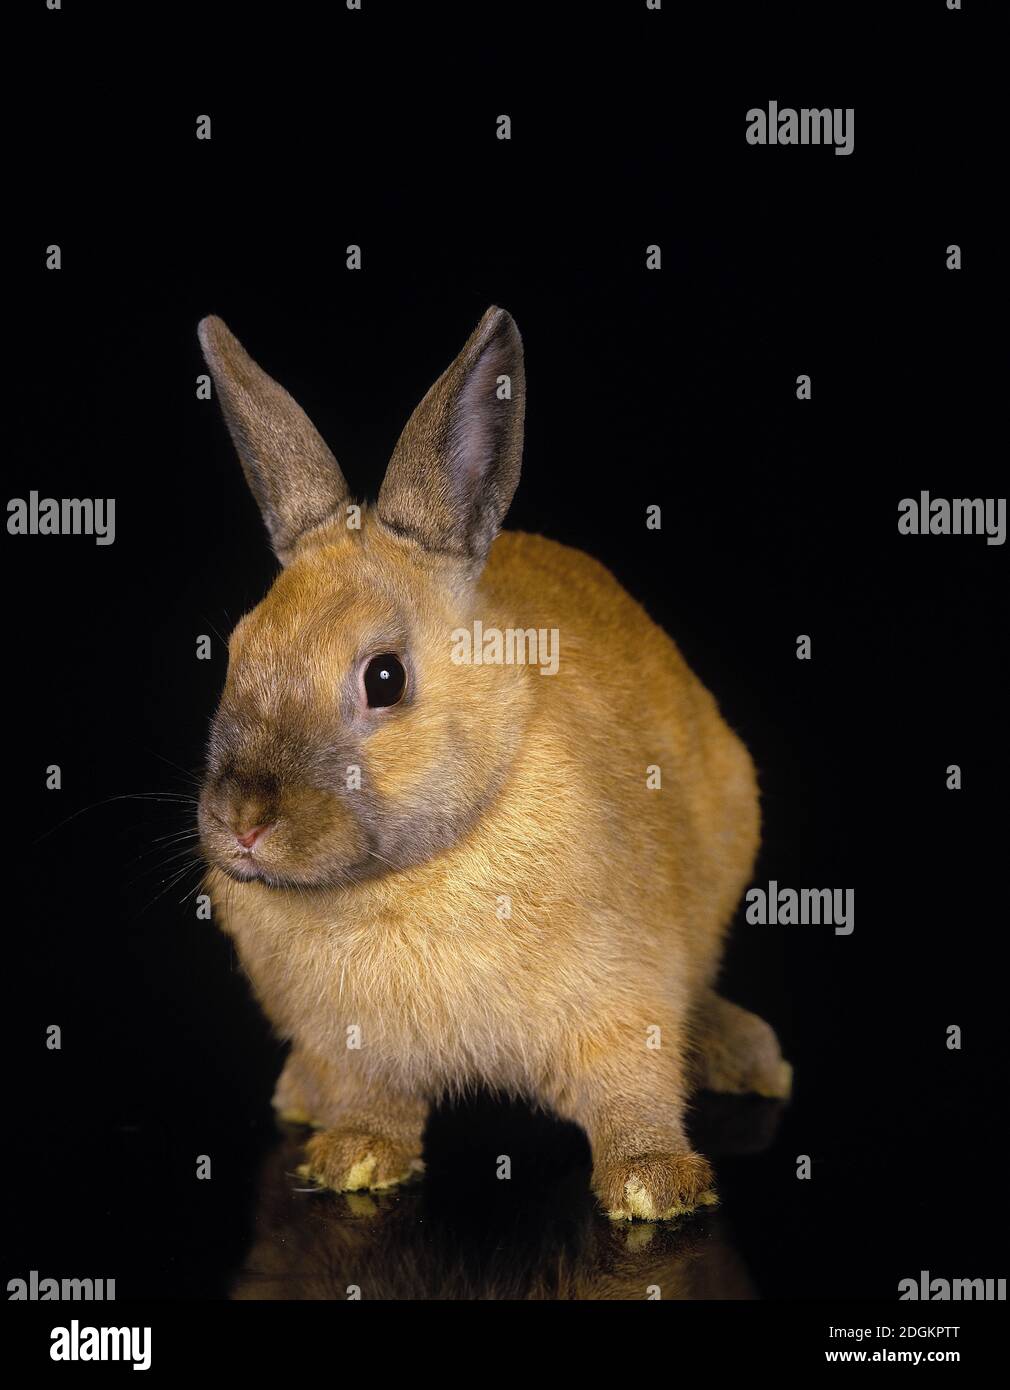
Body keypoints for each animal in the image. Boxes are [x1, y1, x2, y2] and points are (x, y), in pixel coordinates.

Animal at [196, 306, 792, 1222]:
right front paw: (354, 1156)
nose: (244, 825)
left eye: (384, 678)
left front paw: (655, 1183)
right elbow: (370, 1092)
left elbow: (634, 1084)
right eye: (234, 652)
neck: (415, 871)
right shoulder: (354, 1045)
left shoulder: (625, 999)